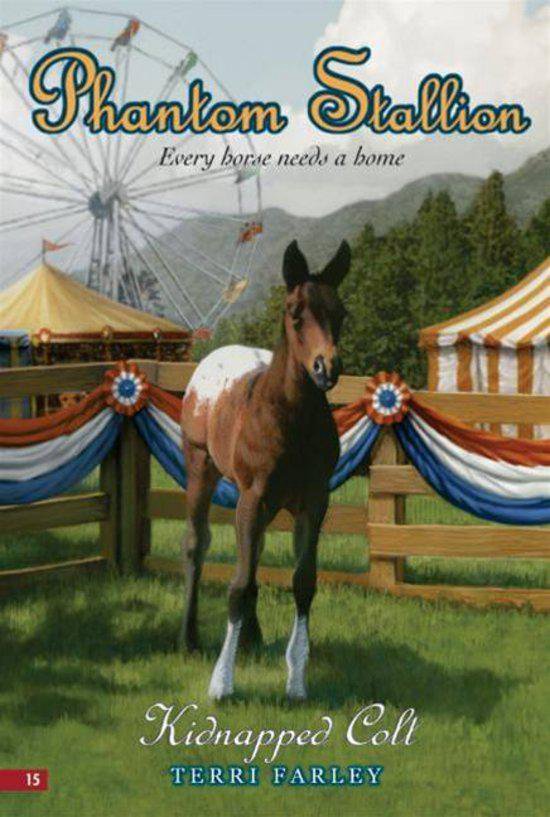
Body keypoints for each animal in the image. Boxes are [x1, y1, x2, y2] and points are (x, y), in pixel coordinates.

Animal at [180, 239, 351, 699]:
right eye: (295, 312)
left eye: (341, 312)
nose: (326, 368)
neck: (288, 420)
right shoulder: (253, 497)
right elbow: (238, 584)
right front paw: (221, 683)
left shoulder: (314, 502)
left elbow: (302, 581)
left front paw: (296, 679)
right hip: (200, 468)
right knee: (196, 544)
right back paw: (189, 639)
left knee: (253, 556)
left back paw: (252, 638)